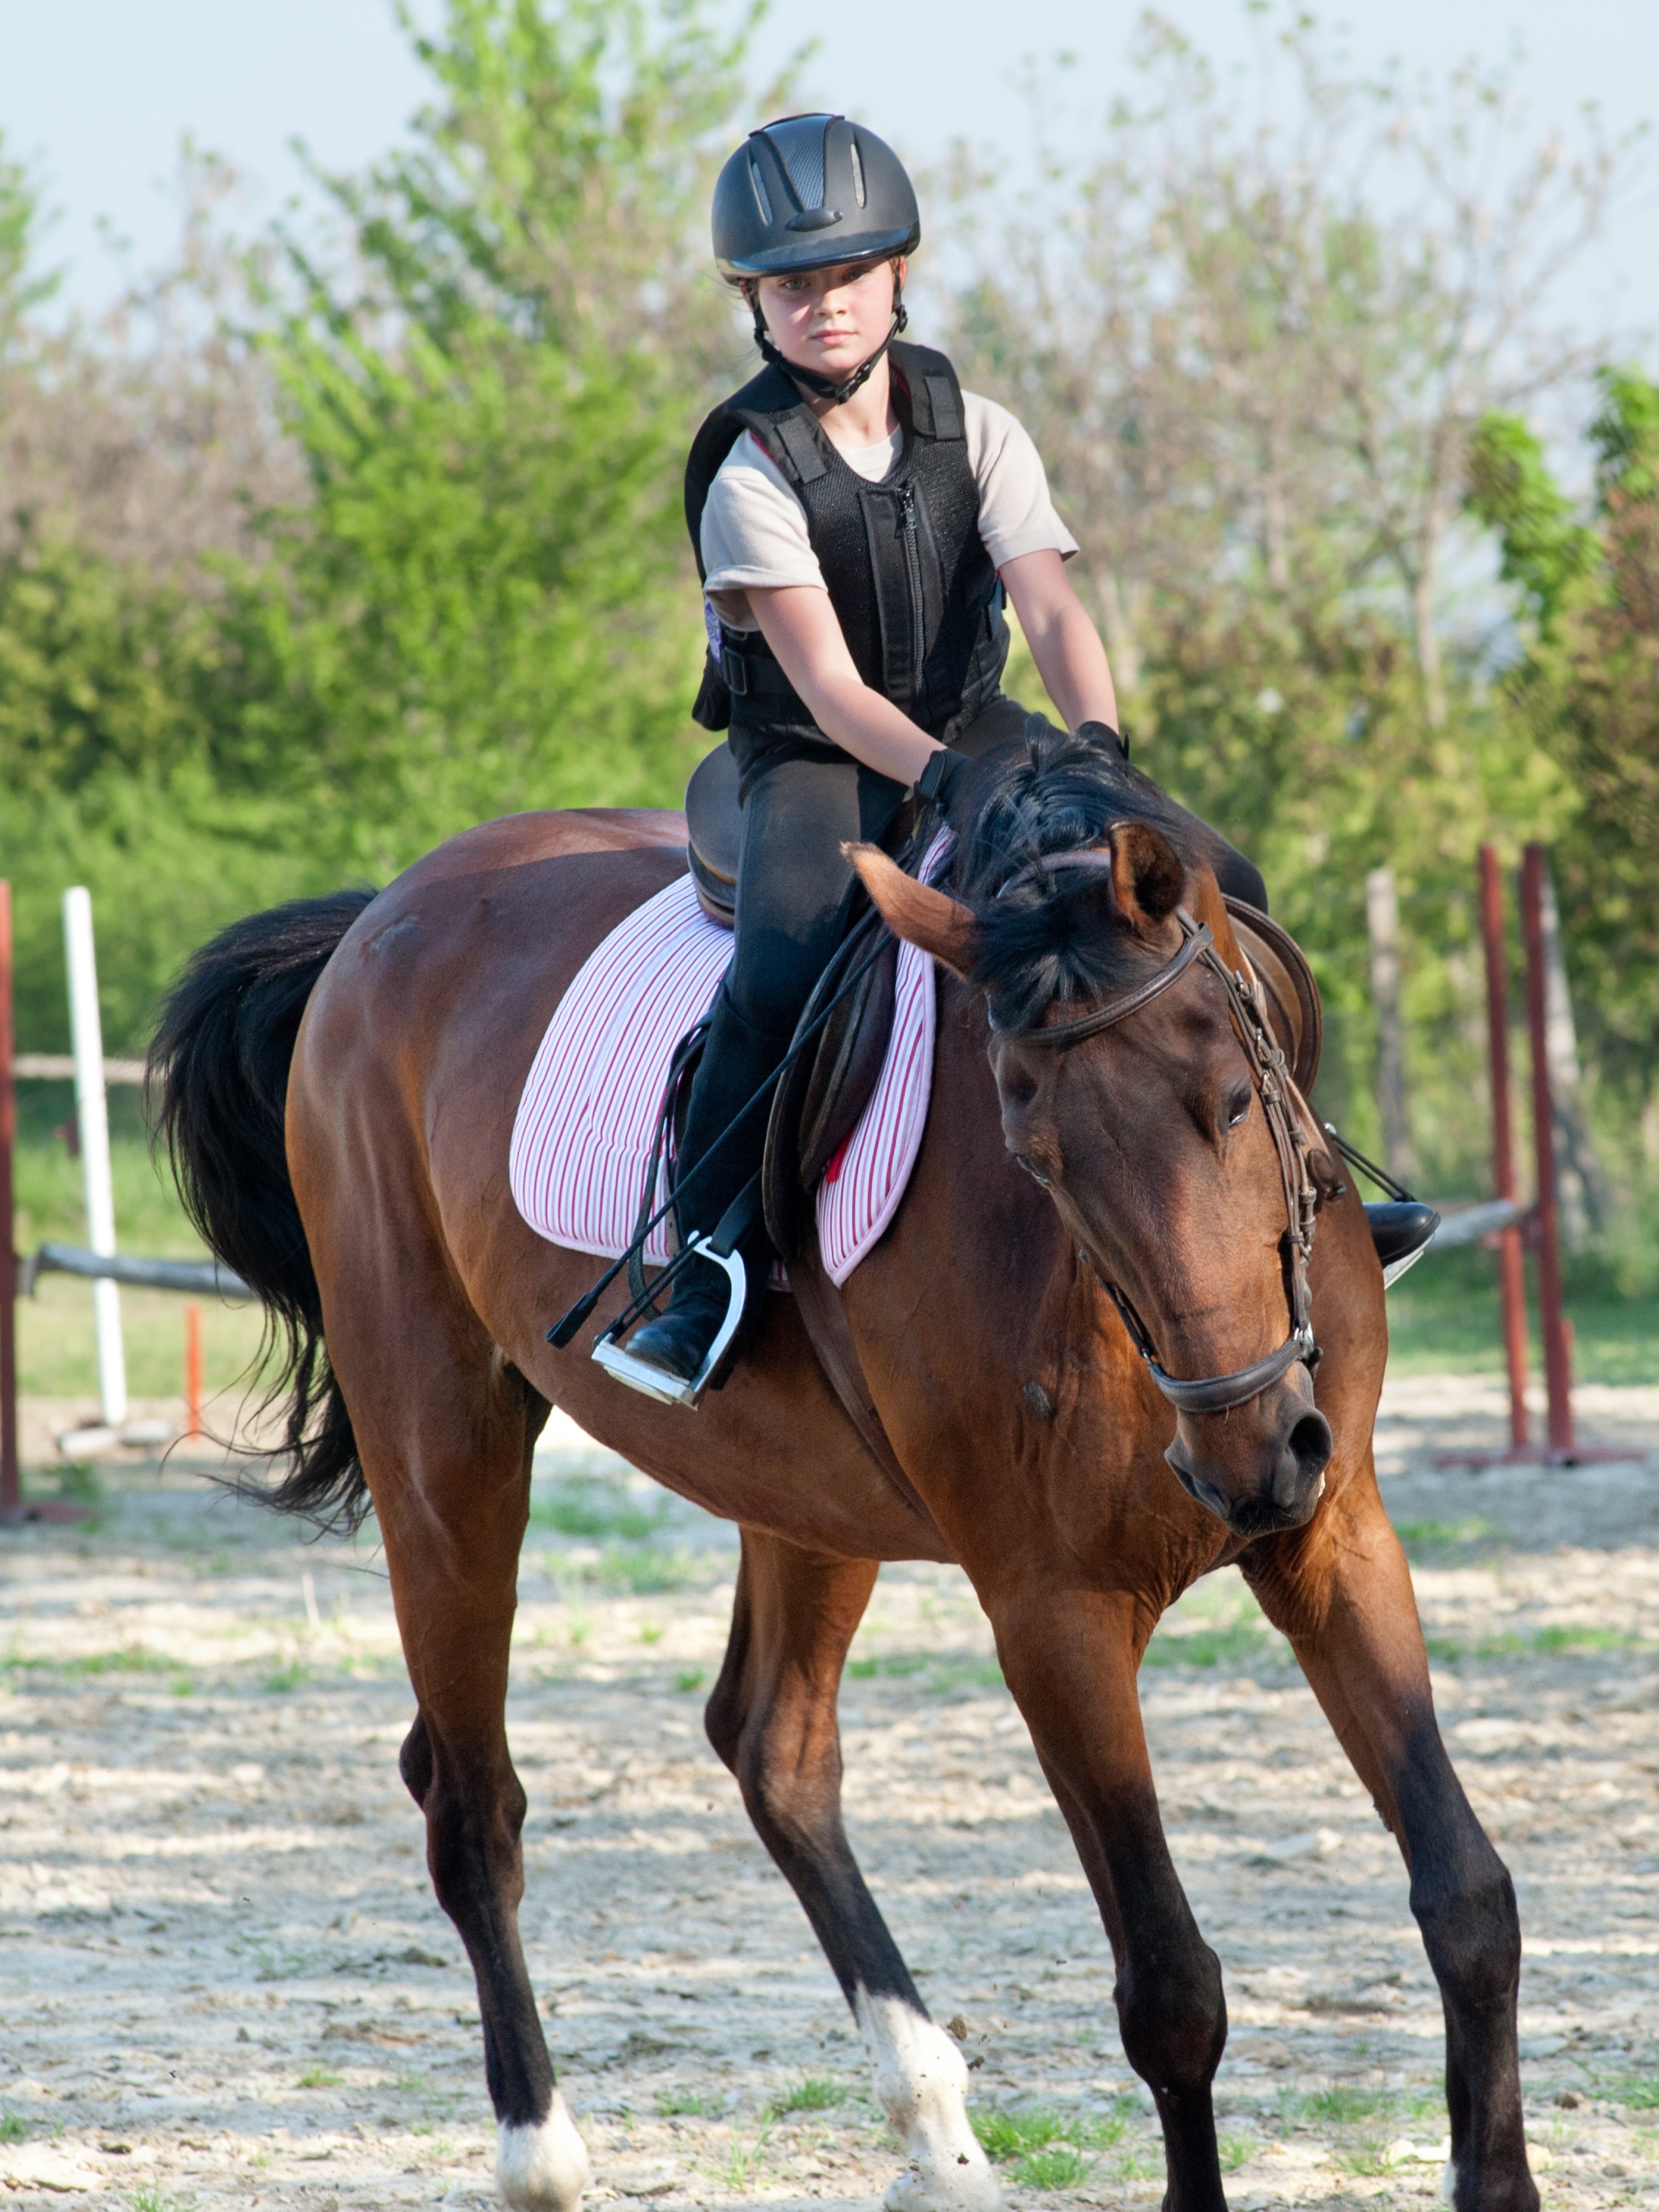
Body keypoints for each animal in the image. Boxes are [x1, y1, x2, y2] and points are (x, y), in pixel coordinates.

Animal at [154, 731, 1536, 2212]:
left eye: (1232, 1099)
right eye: (1034, 1153)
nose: (1246, 1455)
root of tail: (376, 920)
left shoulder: (1334, 1537)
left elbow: (1467, 1896)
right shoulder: (1049, 1611)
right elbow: (1170, 1989)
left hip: (804, 1494)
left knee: (773, 1743)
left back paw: (936, 2129)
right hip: (443, 1452)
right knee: (472, 1796)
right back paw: (542, 2152)